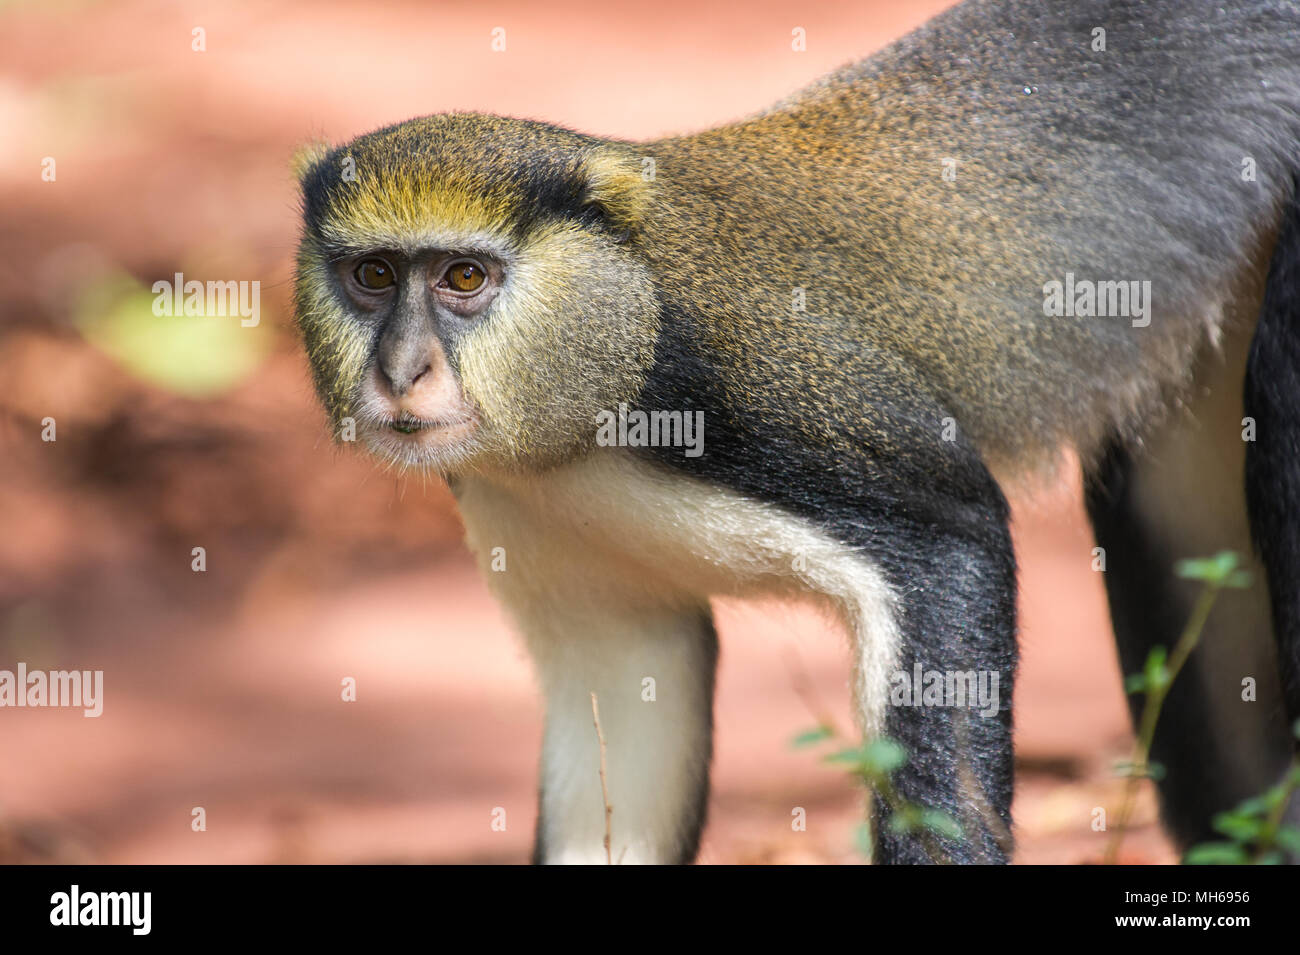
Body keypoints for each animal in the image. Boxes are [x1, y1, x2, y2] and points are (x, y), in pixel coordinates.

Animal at [292, 0, 1300, 864]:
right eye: (373, 277)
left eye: (463, 278)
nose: (400, 372)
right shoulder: (560, 558)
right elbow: (626, 692)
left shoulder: (755, 400)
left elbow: (950, 542)